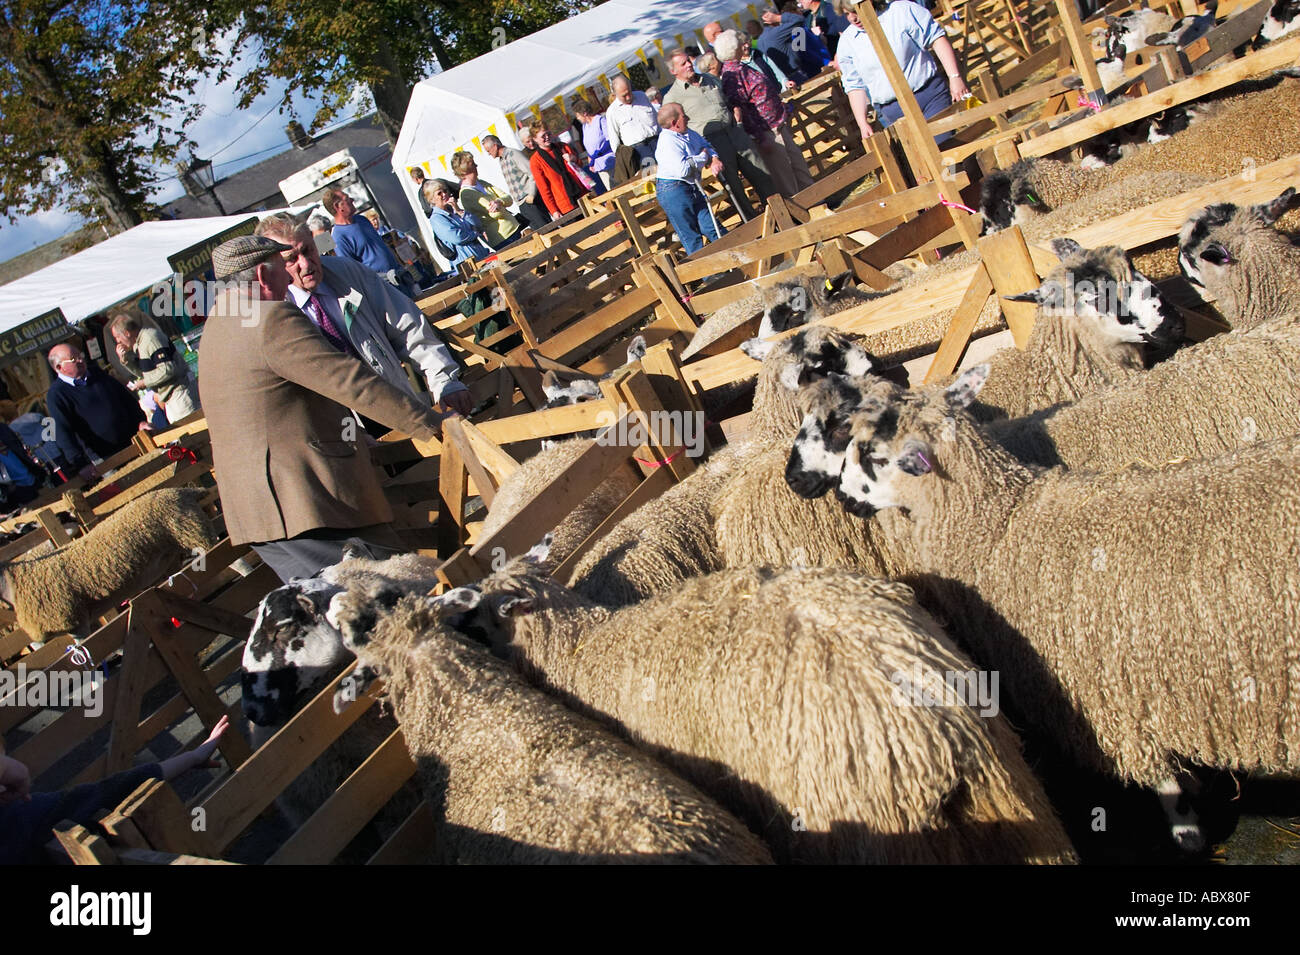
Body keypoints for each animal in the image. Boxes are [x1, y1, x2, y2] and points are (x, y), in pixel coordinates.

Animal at [786, 367, 1300, 851]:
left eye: (870, 453)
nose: (839, 495)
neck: (1002, 524)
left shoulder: (1103, 689)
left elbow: (1159, 775)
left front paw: (1186, 830)